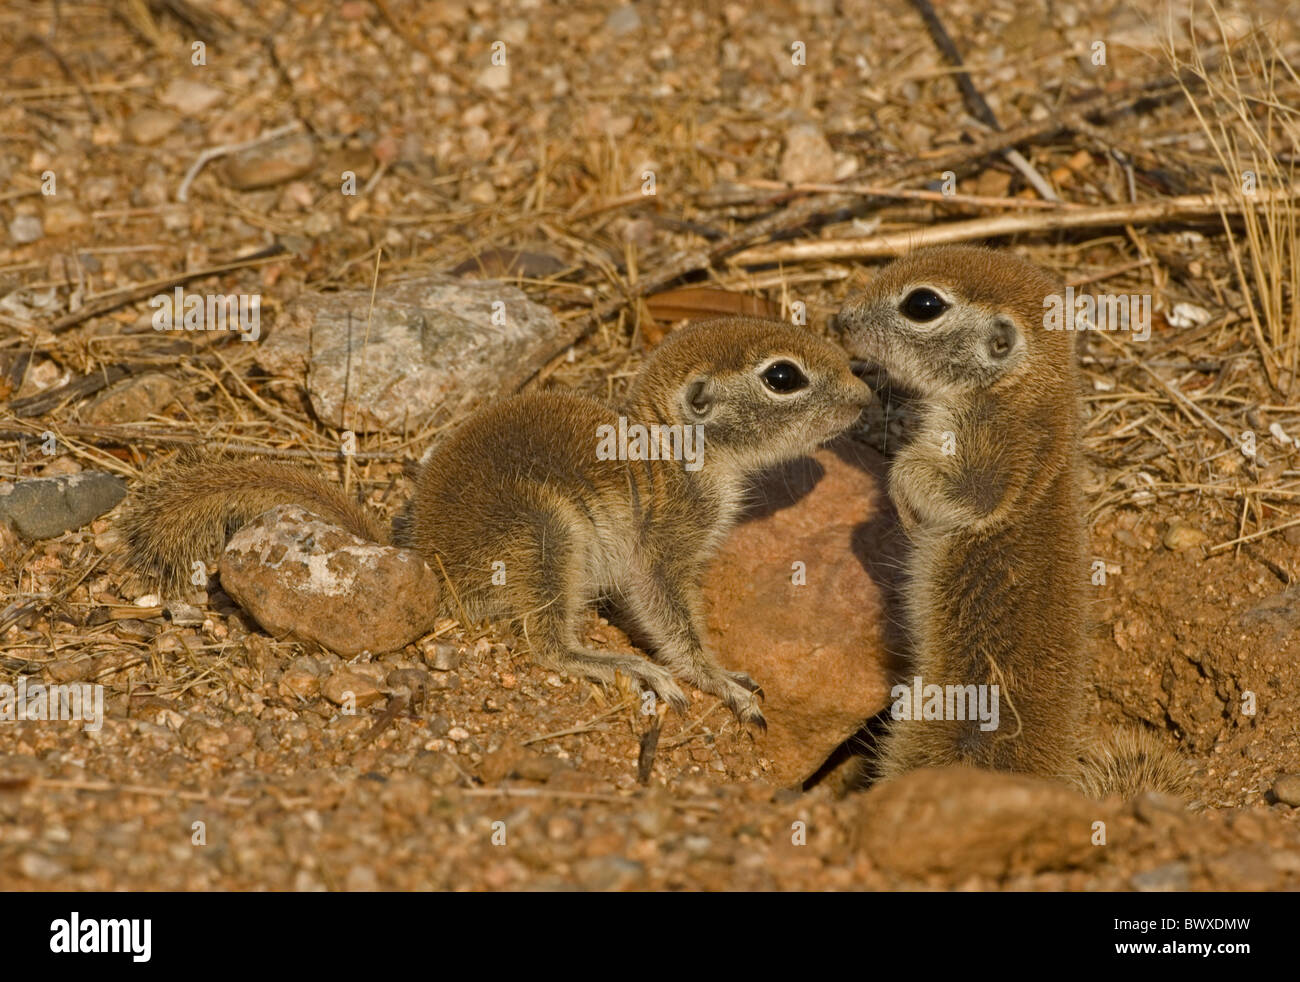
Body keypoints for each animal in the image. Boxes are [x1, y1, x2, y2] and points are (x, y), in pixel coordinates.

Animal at [120, 315, 873, 729]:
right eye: (783, 377)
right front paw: (718, 680)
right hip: (546, 533)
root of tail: (425, 552)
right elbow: (671, 624)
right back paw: (621, 665)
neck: (672, 450)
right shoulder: (661, 553)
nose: (866, 397)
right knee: (547, 645)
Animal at [836, 245, 1188, 798]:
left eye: (923, 304)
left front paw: (901, 500)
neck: (1019, 390)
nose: (840, 318)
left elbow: (953, 489)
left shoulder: (993, 451)